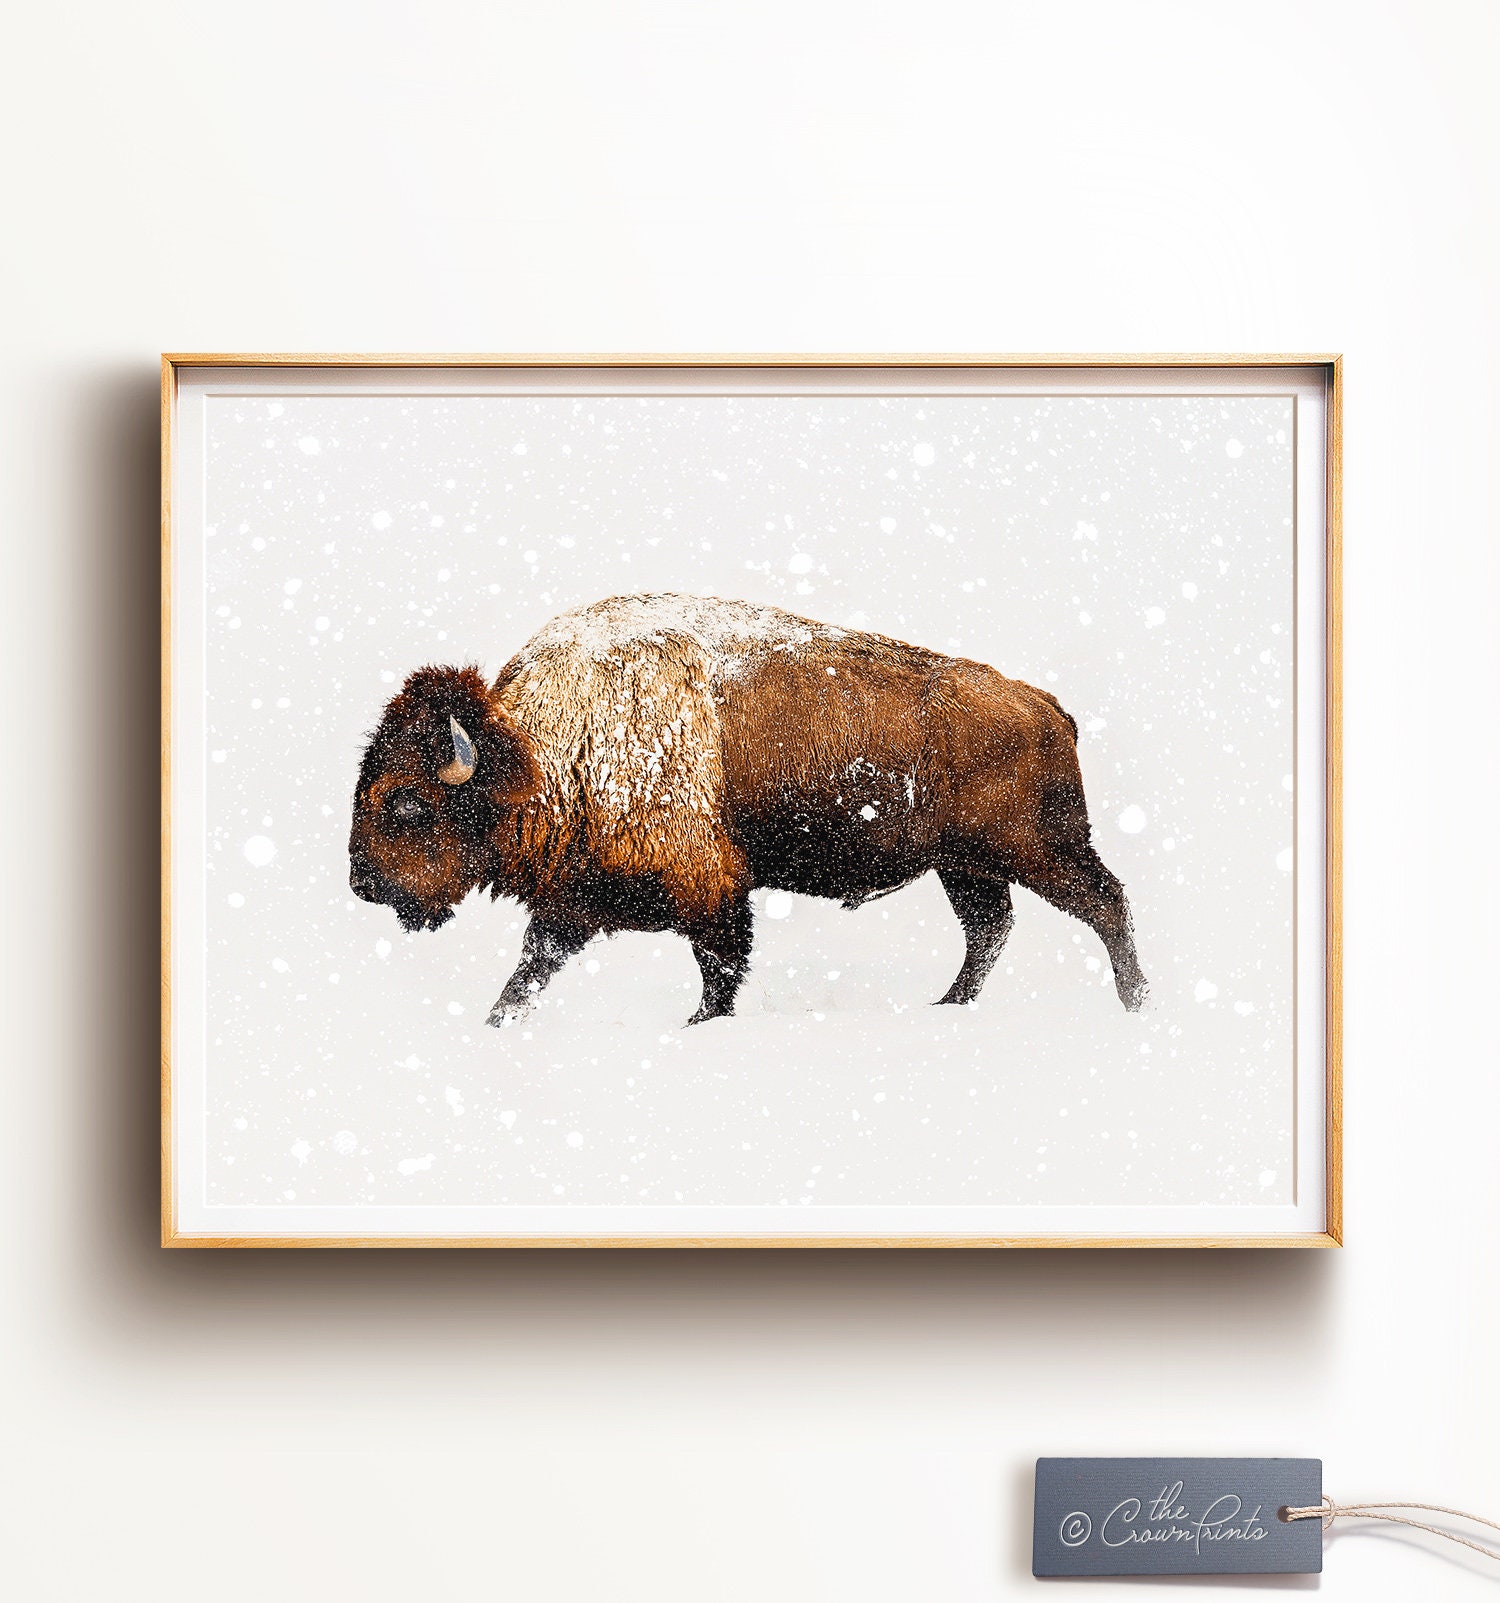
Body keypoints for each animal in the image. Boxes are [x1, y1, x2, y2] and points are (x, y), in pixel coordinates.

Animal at [348, 593, 1147, 1025]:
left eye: (409, 801)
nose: (363, 884)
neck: (541, 749)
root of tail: (1045, 706)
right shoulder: (574, 900)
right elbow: (527, 974)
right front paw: (496, 1024)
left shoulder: (711, 894)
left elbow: (720, 974)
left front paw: (699, 1025)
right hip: (966, 866)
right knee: (990, 930)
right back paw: (947, 1006)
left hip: (1039, 850)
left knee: (1105, 904)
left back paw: (1135, 1003)